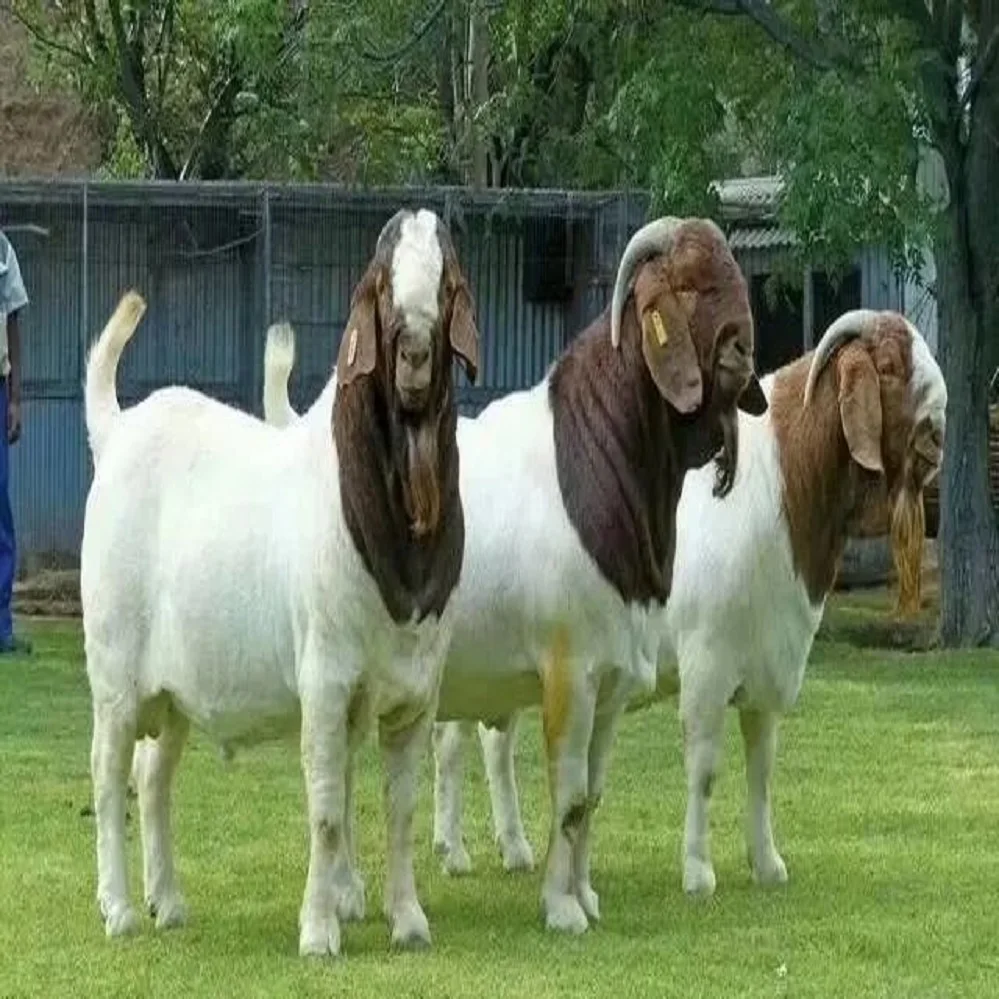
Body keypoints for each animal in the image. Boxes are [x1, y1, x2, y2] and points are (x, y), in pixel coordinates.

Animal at [80, 208, 480, 958]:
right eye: (383, 286)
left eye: (446, 284)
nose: (413, 353)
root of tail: (115, 430)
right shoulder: (325, 682)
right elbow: (326, 810)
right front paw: (320, 930)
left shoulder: (417, 692)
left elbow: (400, 809)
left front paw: (408, 921)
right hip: (115, 672)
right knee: (109, 772)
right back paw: (118, 909)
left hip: (174, 692)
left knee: (154, 779)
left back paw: (168, 900)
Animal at [262, 215, 768, 934]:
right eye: (690, 286)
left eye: (735, 280)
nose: (742, 355)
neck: (595, 455)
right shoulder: (570, 671)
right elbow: (569, 794)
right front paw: (561, 907)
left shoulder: (612, 680)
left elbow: (593, 794)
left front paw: (585, 895)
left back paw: (350, 893)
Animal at [422, 309, 946, 897]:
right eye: (890, 365)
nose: (936, 437)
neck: (782, 485)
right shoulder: (707, 665)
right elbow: (705, 769)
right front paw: (698, 872)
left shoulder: (769, 667)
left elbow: (762, 770)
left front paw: (767, 863)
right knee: (453, 743)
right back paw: (455, 851)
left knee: (491, 741)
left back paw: (512, 849)